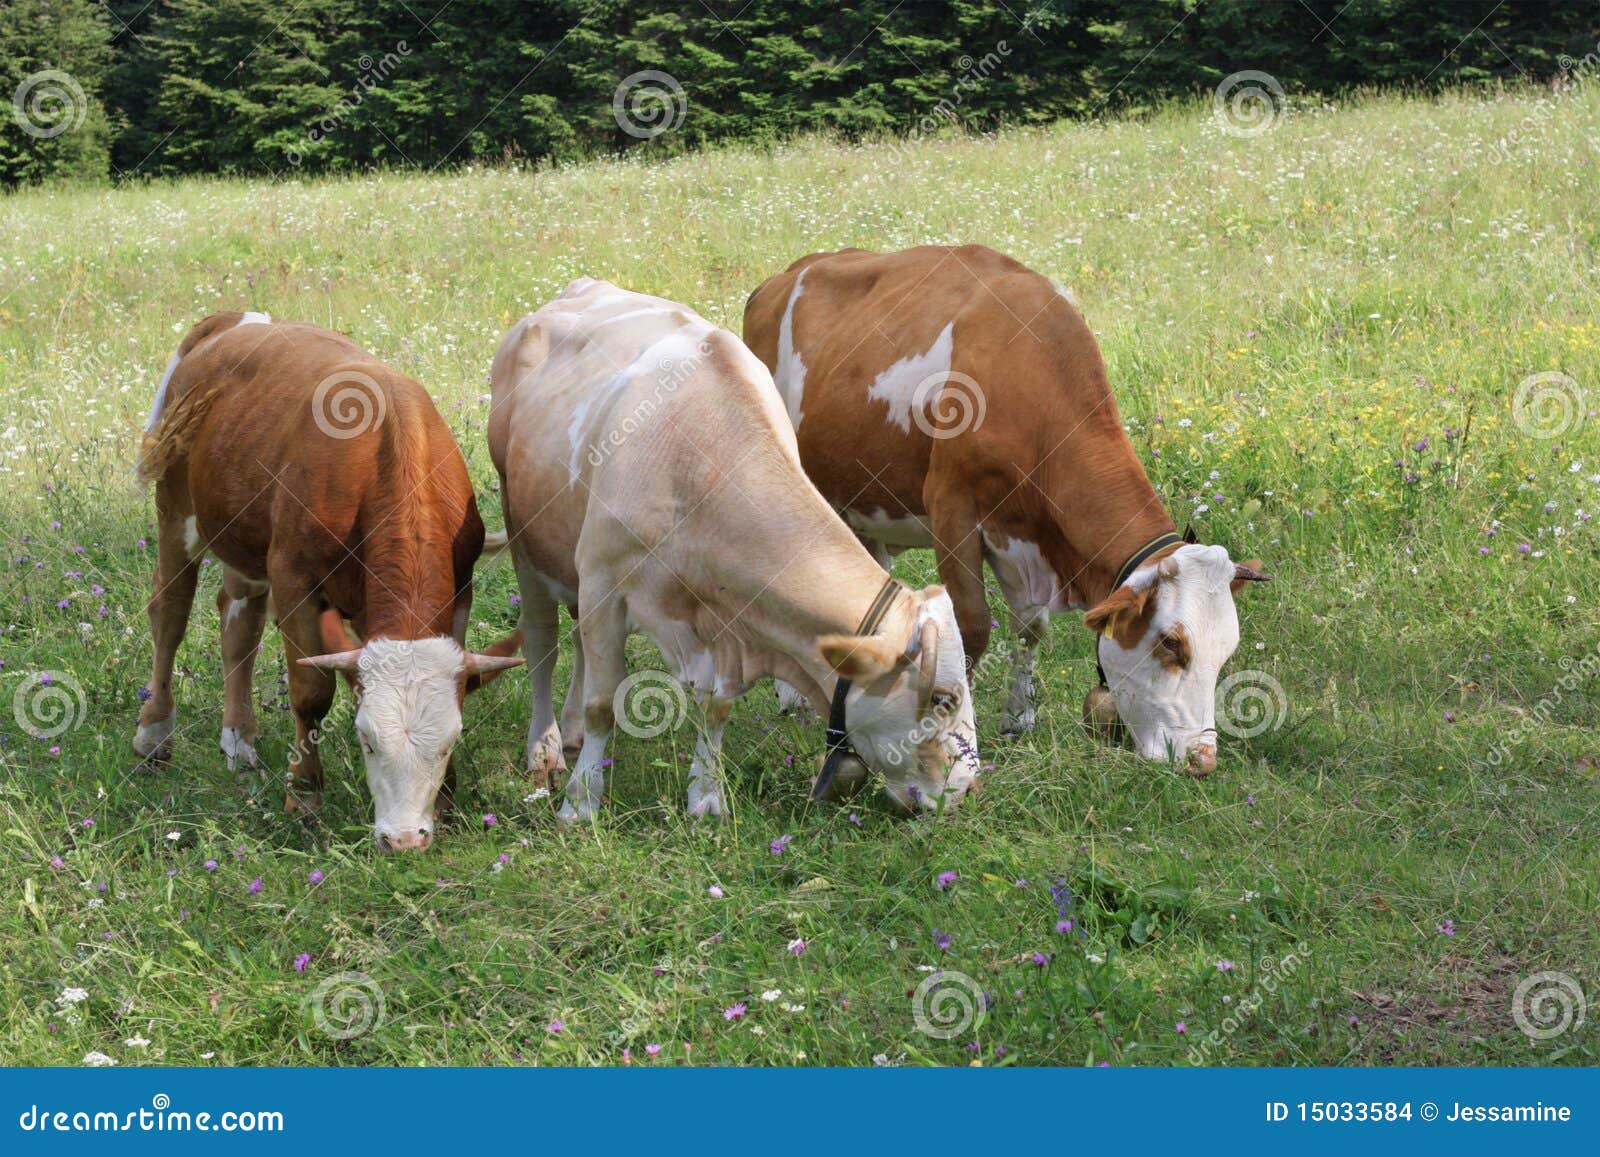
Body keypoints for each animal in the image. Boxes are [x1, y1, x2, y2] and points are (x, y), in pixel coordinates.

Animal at [133, 311, 522, 850]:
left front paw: (446, 800)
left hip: (244, 538)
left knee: (237, 621)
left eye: (451, 742)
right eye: (366, 740)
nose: (405, 838)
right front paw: (303, 797)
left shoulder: (459, 588)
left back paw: (239, 741)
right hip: (177, 511)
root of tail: (236, 320)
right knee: (169, 614)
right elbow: (311, 694)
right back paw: (154, 736)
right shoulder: (294, 580)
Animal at [486, 279, 980, 819]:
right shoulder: (603, 582)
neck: (697, 465)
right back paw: (546, 746)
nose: (970, 789)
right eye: (943, 698)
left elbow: (717, 706)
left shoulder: (726, 618)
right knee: (543, 643)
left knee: (575, 641)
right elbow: (602, 703)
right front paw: (580, 803)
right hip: (525, 537)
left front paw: (705, 798)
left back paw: (570, 733)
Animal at [743, 246, 1269, 774]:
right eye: (1170, 643)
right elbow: (973, 628)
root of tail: (784, 275)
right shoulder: (951, 508)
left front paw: (1019, 719)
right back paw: (791, 700)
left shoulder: (1021, 534)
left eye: (1227, 650)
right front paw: (953, 741)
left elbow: (1030, 628)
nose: (1202, 759)